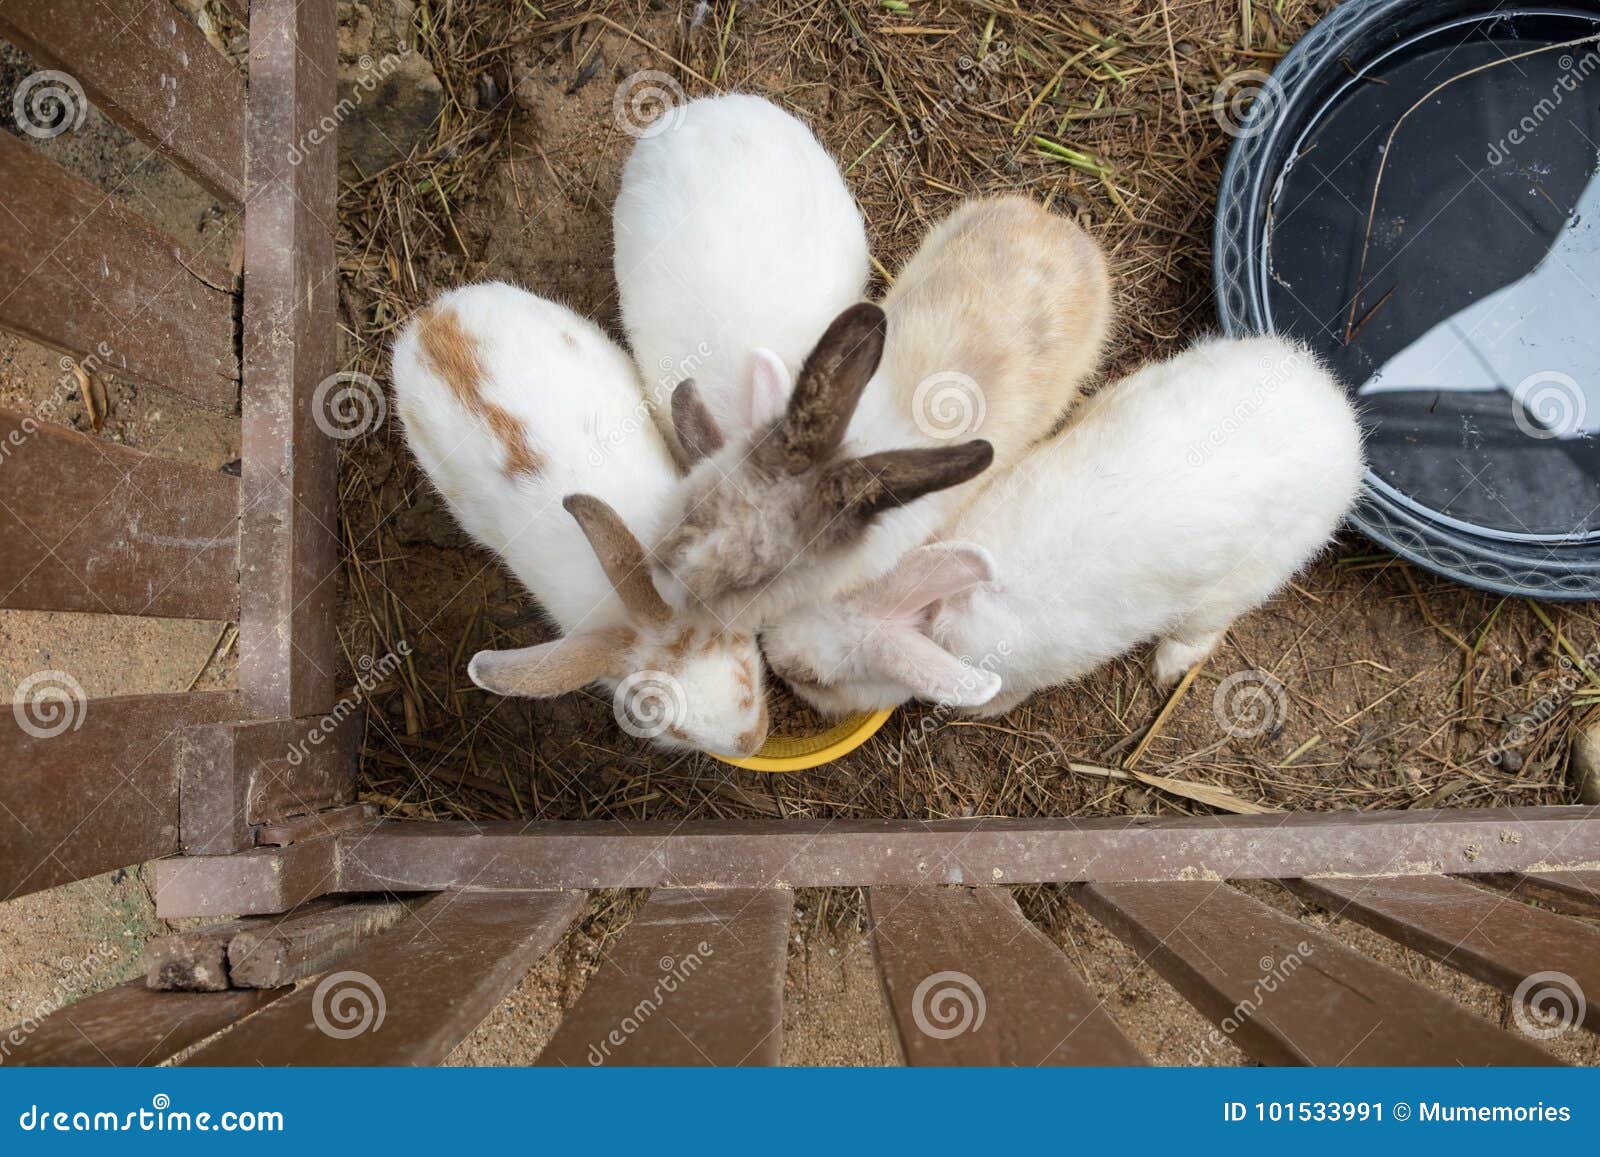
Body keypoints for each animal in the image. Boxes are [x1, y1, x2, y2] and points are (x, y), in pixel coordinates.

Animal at [760, 335, 1366, 718]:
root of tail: (1332, 406)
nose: (772, 658)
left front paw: (983, 712)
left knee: (1205, 627)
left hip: (1247, 577)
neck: (936, 616)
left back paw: (1168, 665)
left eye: (812, 678)